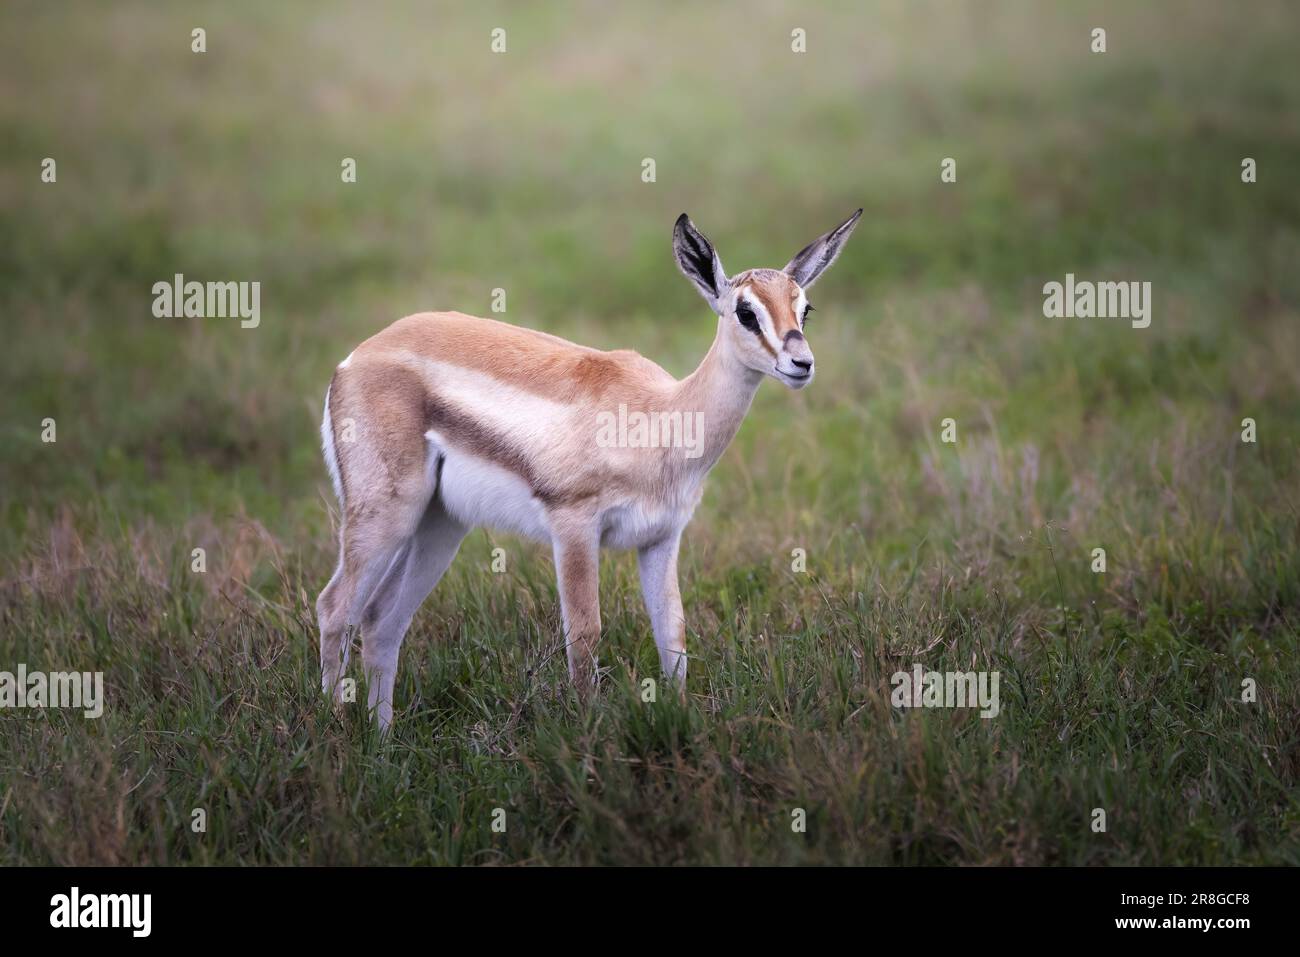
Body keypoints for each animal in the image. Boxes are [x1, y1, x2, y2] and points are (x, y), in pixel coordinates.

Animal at [317, 209, 862, 729]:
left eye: (804, 308)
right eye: (746, 311)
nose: (801, 363)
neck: (662, 416)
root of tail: (354, 358)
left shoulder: (661, 538)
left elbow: (673, 636)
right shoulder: (574, 526)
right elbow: (584, 636)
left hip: (441, 523)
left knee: (380, 620)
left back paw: (383, 739)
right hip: (386, 513)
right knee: (334, 608)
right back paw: (334, 727)